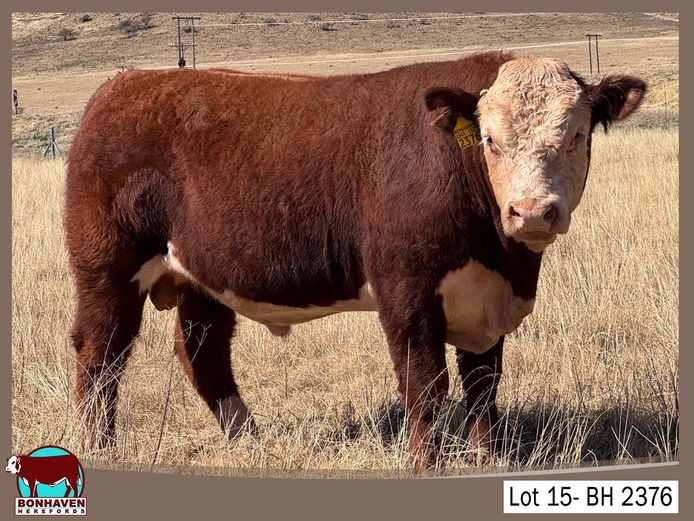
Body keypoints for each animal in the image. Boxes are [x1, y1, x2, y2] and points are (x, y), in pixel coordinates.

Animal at [64, 51, 645, 468]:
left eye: (576, 135)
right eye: (488, 138)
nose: (531, 212)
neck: (505, 260)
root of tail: (123, 83)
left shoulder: (486, 300)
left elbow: (483, 385)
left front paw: (489, 457)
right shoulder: (406, 290)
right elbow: (424, 382)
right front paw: (427, 463)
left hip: (204, 278)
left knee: (202, 351)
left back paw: (249, 439)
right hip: (105, 267)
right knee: (101, 352)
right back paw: (102, 448)